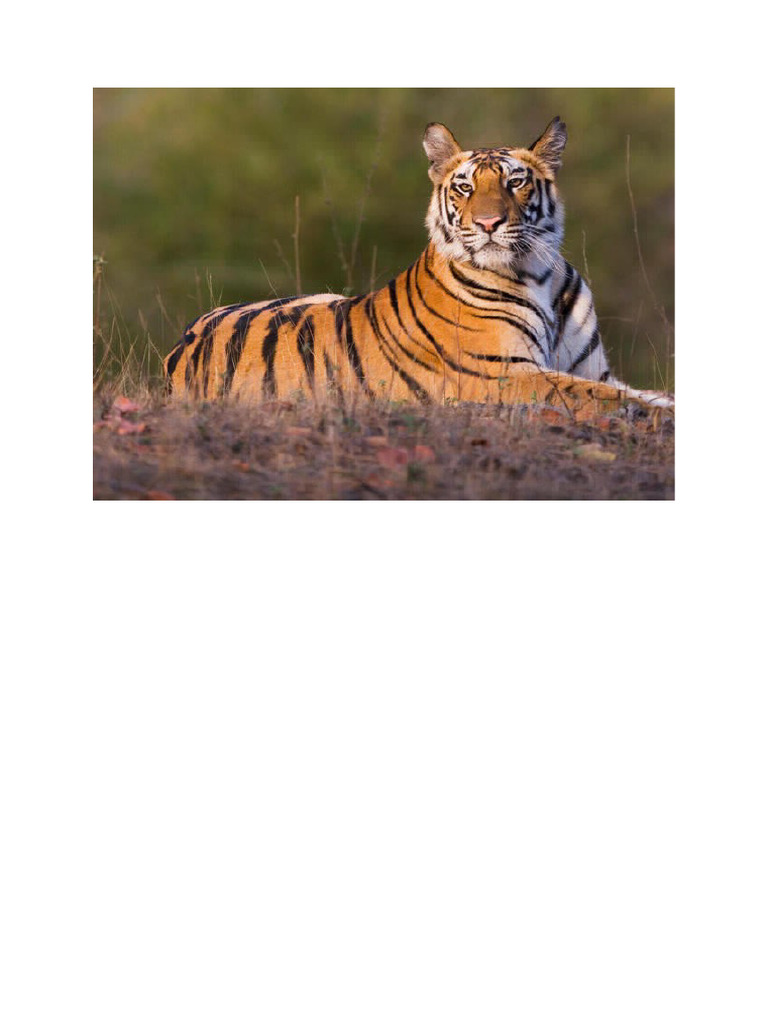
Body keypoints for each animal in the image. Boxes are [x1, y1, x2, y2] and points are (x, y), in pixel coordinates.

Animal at [164, 117, 673, 415]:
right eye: (465, 187)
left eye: (515, 182)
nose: (488, 223)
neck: (538, 274)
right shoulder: (502, 374)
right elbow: (602, 398)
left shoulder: (592, 369)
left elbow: (632, 390)